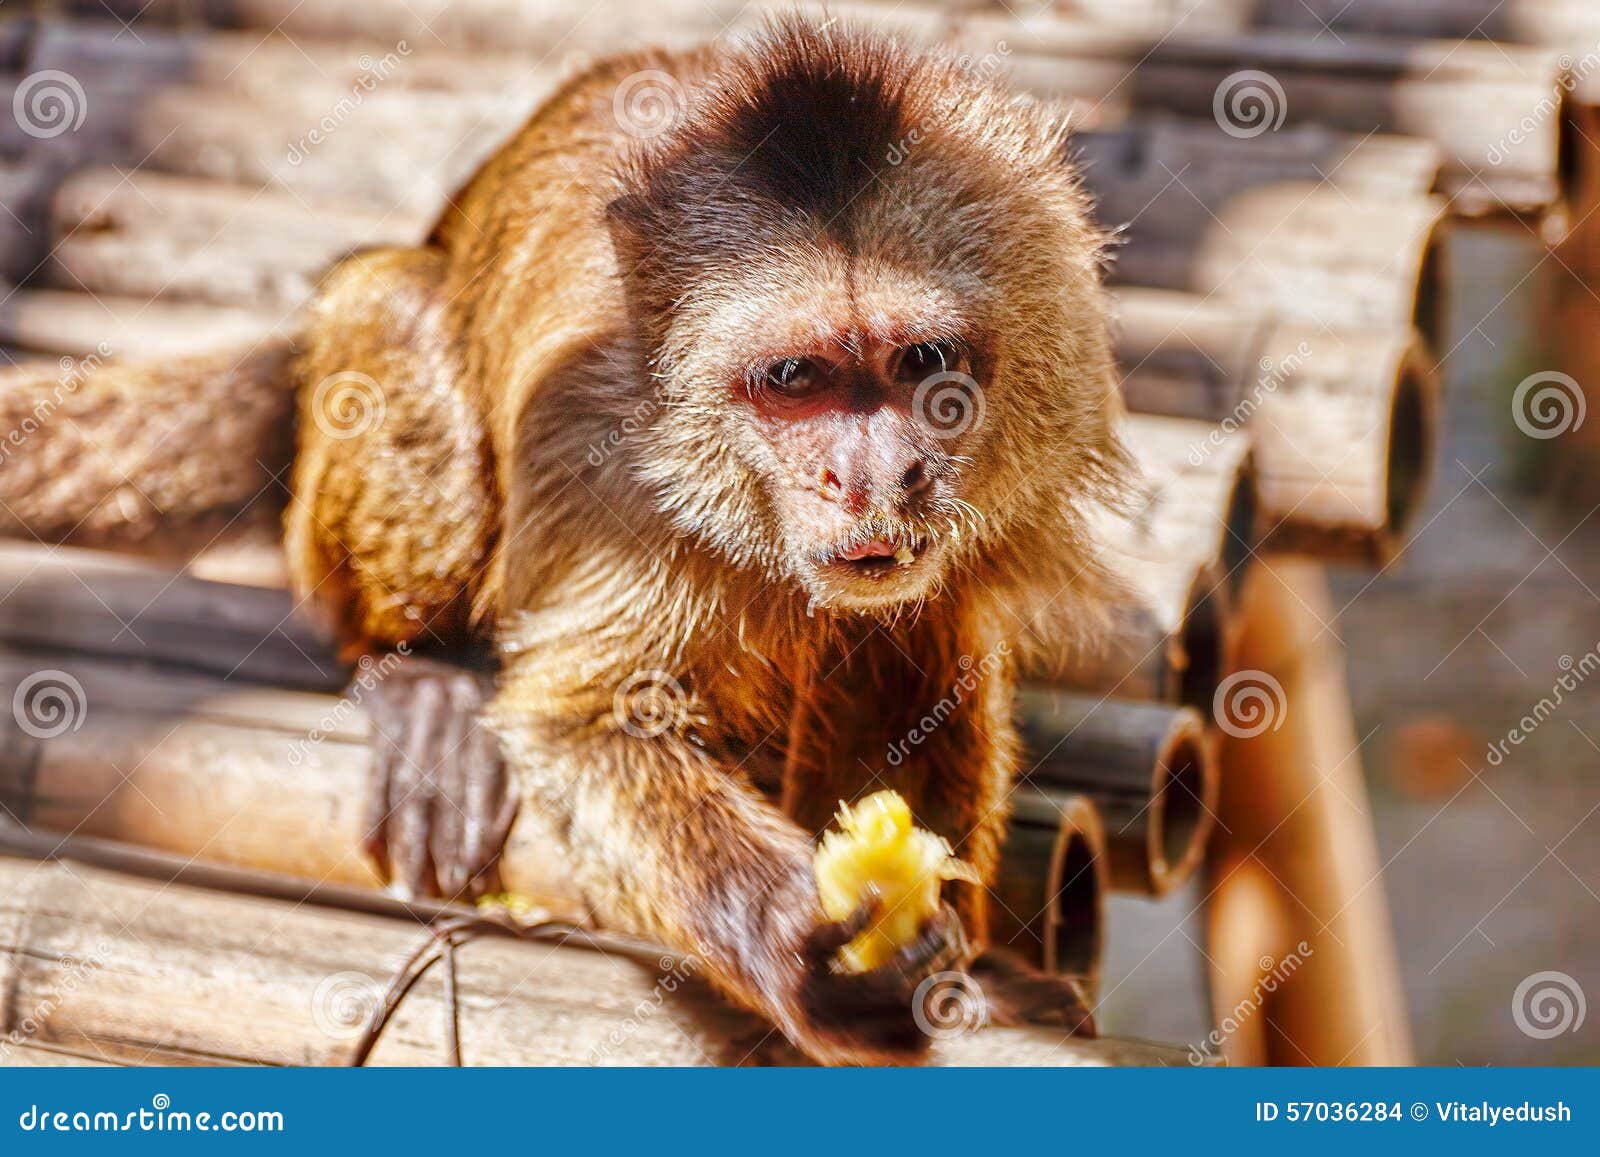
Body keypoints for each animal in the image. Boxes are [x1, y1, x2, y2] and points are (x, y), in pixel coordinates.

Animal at [0, 17, 1128, 1065]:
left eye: (925, 365)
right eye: (794, 379)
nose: (878, 478)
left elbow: (929, 632)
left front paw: (962, 961)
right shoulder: (603, 453)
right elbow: (580, 727)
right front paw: (794, 945)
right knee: (401, 309)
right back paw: (419, 676)